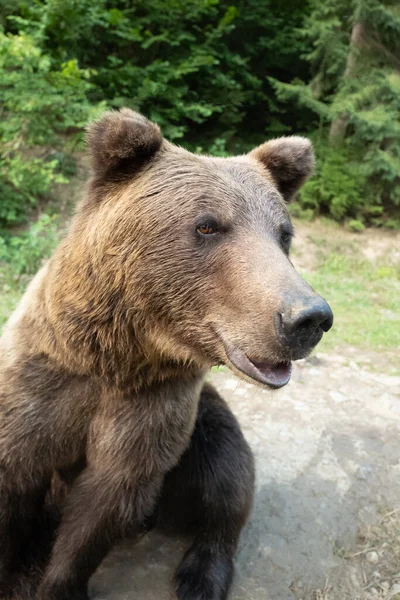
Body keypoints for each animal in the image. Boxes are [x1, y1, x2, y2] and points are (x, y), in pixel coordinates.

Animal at [0, 109, 332, 600]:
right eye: (207, 225)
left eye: (283, 234)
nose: (308, 317)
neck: (119, 359)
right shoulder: (41, 387)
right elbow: (15, 478)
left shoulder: (153, 406)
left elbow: (104, 506)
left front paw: (60, 583)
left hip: (205, 420)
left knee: (226, 476)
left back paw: (200, 576)